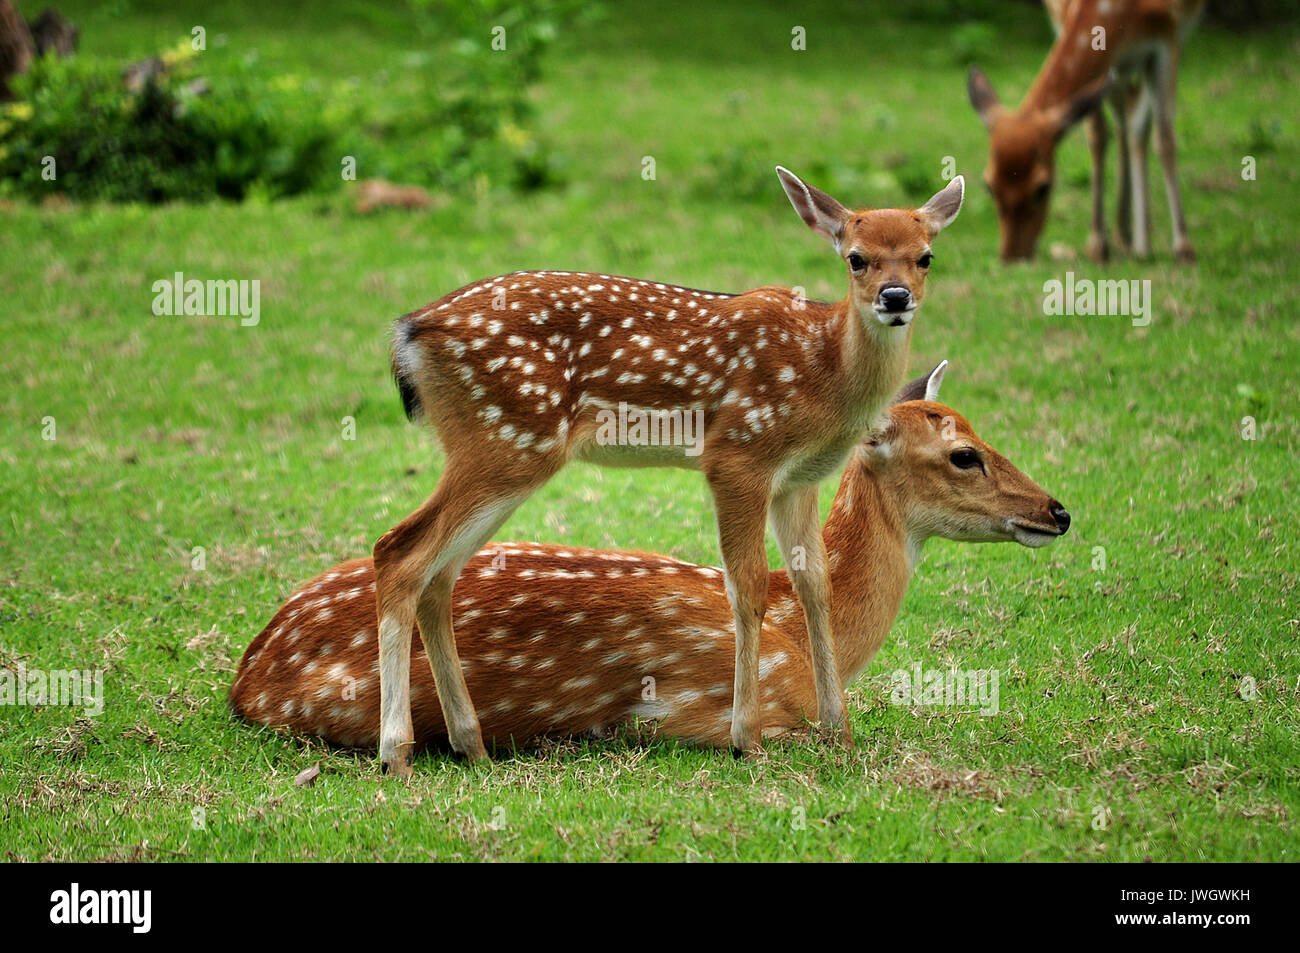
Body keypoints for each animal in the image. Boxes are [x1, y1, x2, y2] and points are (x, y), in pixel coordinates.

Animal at [371, 167, 965, 774]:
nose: (895, 297)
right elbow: (747, 587)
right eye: (855, 258)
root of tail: (409, 333)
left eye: (926, 256)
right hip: (506, 439)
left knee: (438, 575)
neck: (824, 370)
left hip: (499, 447)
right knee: (399, 550)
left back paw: (471, 745)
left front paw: (839, 734)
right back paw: (395, 753)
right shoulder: (739, 454)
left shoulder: (798, 480)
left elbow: (813, 585)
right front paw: (745, 739)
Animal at [968, 0, 1204, 263]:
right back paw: (1123, 236)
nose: (1012, 257)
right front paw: (1097, 245)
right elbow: (1097, 135)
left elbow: (1164, 140)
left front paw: (1183, 247)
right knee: (1123, 122)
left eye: (1043, 187)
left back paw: (1141, 242)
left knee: (1136, 127)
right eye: (989, 185)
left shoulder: (1168, 37)